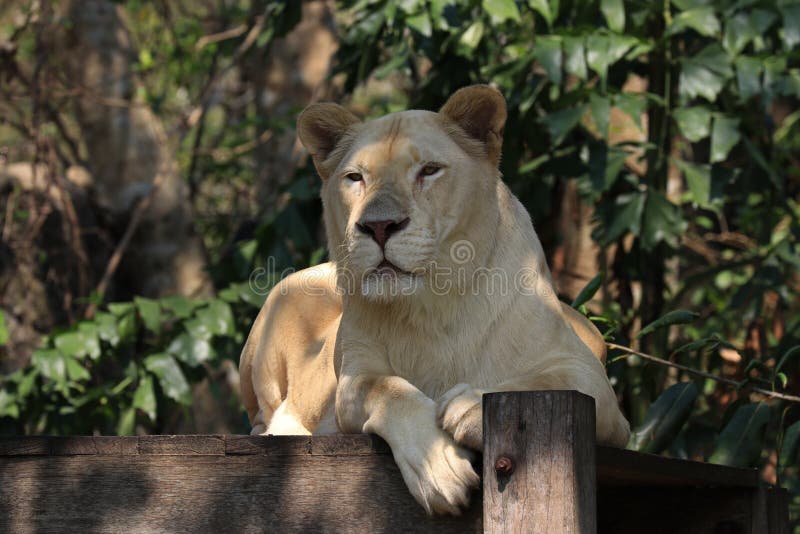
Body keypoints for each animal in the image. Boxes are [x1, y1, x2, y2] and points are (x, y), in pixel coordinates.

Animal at [239, 85, 630, 515]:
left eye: (428, 170)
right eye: (355, 177)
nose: (379, 226)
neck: (433, 301)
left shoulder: (595, 386)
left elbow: (543, 379)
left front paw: (472, 404)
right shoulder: (354, 378)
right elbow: (388, 389)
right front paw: (438, 465)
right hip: (282, 298)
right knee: (261, 415)